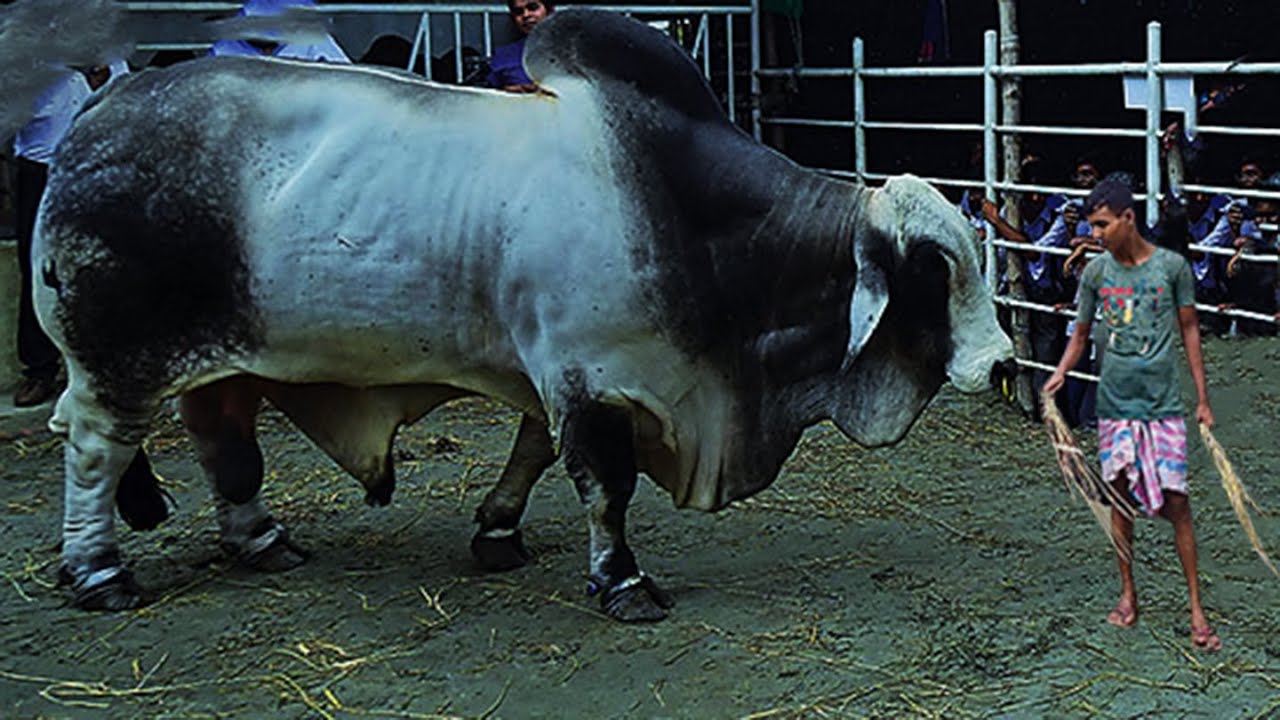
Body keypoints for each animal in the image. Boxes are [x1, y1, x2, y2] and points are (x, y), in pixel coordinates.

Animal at [28, 8, 1013, 621]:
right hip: (114, 362)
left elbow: (535, 454)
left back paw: (261, 540)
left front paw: (497, 529)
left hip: (226, 357)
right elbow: (604, 486)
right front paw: (622, 584)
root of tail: (105, 103)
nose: (1005, 361)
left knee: (224, 441)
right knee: (95, 448)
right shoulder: (588, 376)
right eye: (933, 270)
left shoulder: (561, 375)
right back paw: (99, 572)